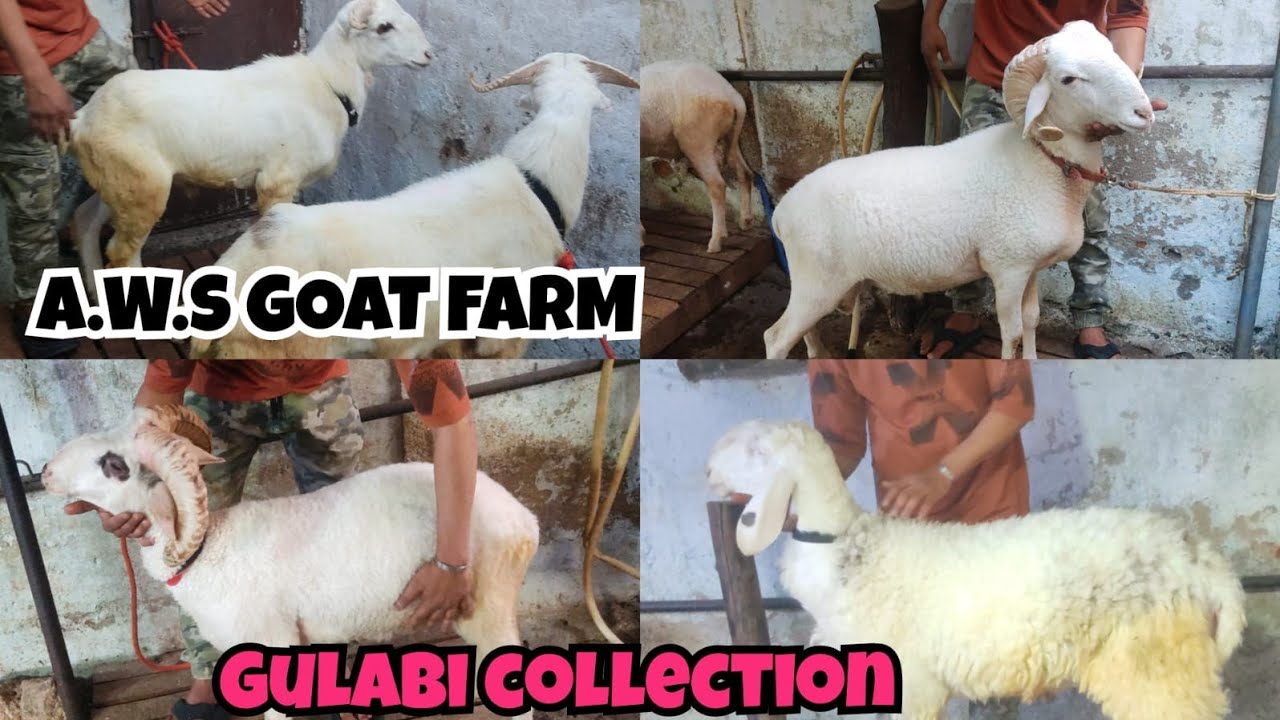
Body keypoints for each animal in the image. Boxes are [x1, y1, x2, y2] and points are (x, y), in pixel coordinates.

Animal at [41, 405, 539, 720]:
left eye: (114, 465)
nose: (45, 470)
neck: (210, 551)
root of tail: (524, 518)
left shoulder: (271, 645)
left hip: (488, 609)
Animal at [65, 0, 434, 298]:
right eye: (383, 27)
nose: (429, 55)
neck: (329, 84)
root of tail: (83, 119)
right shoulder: (277, 182)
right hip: (142, 188)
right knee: (122, 254)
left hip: (119, 177)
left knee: (84, 220)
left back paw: (93, 288)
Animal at [640, 60, 753, 253]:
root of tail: (730, 94)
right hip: (729, 137)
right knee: (745, 173)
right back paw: (744, 221)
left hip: (697, 140)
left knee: (717, 185)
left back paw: (716, 241)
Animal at [705, 419, 1246, 720]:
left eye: (756, 450)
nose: (707, 470)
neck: (851, 551)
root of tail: (1204, 560)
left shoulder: (914, 685)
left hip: (1156, 665)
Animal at [762, 21, 1155, 360]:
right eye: (1068, 79)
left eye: (1111, 51)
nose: (1145, 112)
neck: (1043, 162)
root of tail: (782, 212)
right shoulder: (1007, 267)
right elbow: (1011, 332)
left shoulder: (1031, 266)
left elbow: (1032, 321)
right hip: (816, 280)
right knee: (776, 337)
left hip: (827, 286)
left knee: (807, 332)